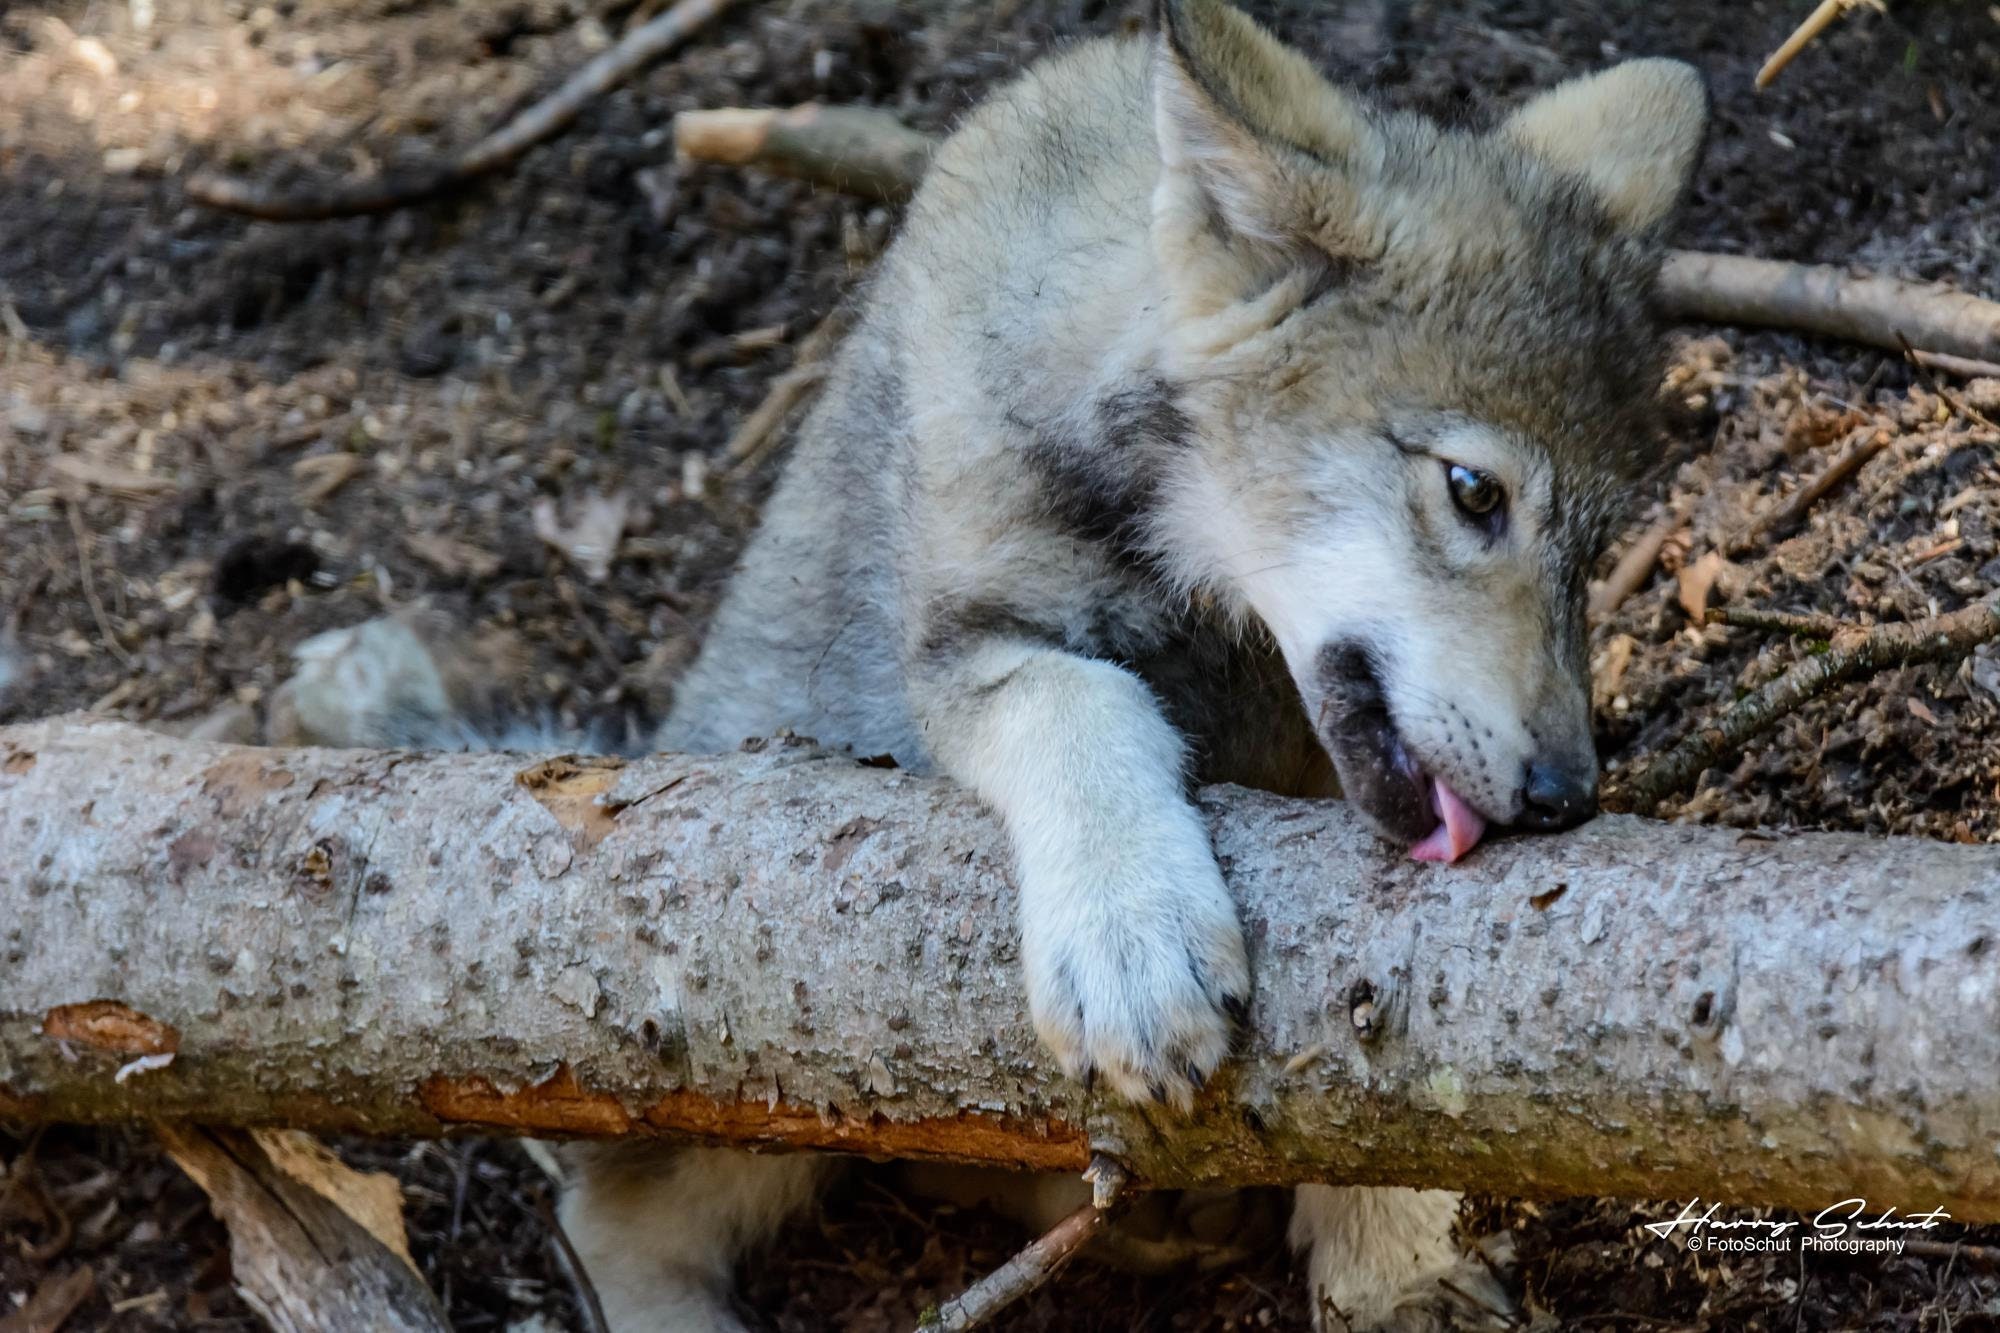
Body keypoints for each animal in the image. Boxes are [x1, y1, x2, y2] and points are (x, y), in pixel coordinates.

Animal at [303, 1, 1707, 1325]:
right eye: (1472, 493)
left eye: (1596, 549)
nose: (1565, 799)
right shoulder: (969, 652)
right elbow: (1089, 704)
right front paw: (1134, 937)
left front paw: (1390, 1266)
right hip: (736, 1085)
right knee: (611, 1219)